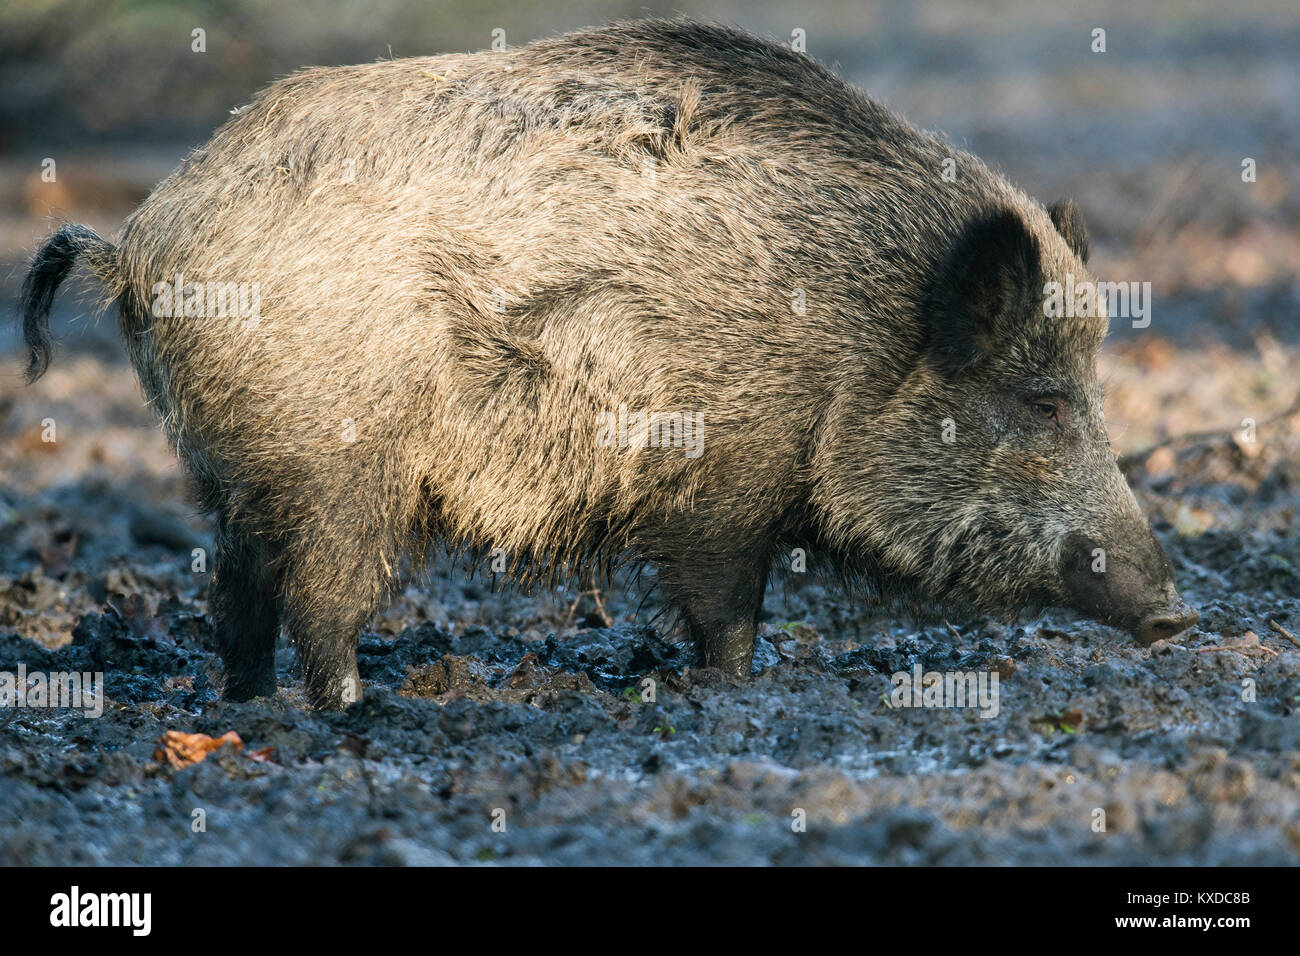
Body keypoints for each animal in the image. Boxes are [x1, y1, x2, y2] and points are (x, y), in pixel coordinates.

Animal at [18, 18, 1197, 708]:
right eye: (1044, 402)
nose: (1178, 615)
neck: (860, 332)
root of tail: (142, 241)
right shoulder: (725, 482)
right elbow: (727, 605)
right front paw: (730, 692)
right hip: (339, 467)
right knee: (318, 590)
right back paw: (354, 708)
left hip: (234, 471)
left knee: (235, 589)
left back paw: (251, 705)